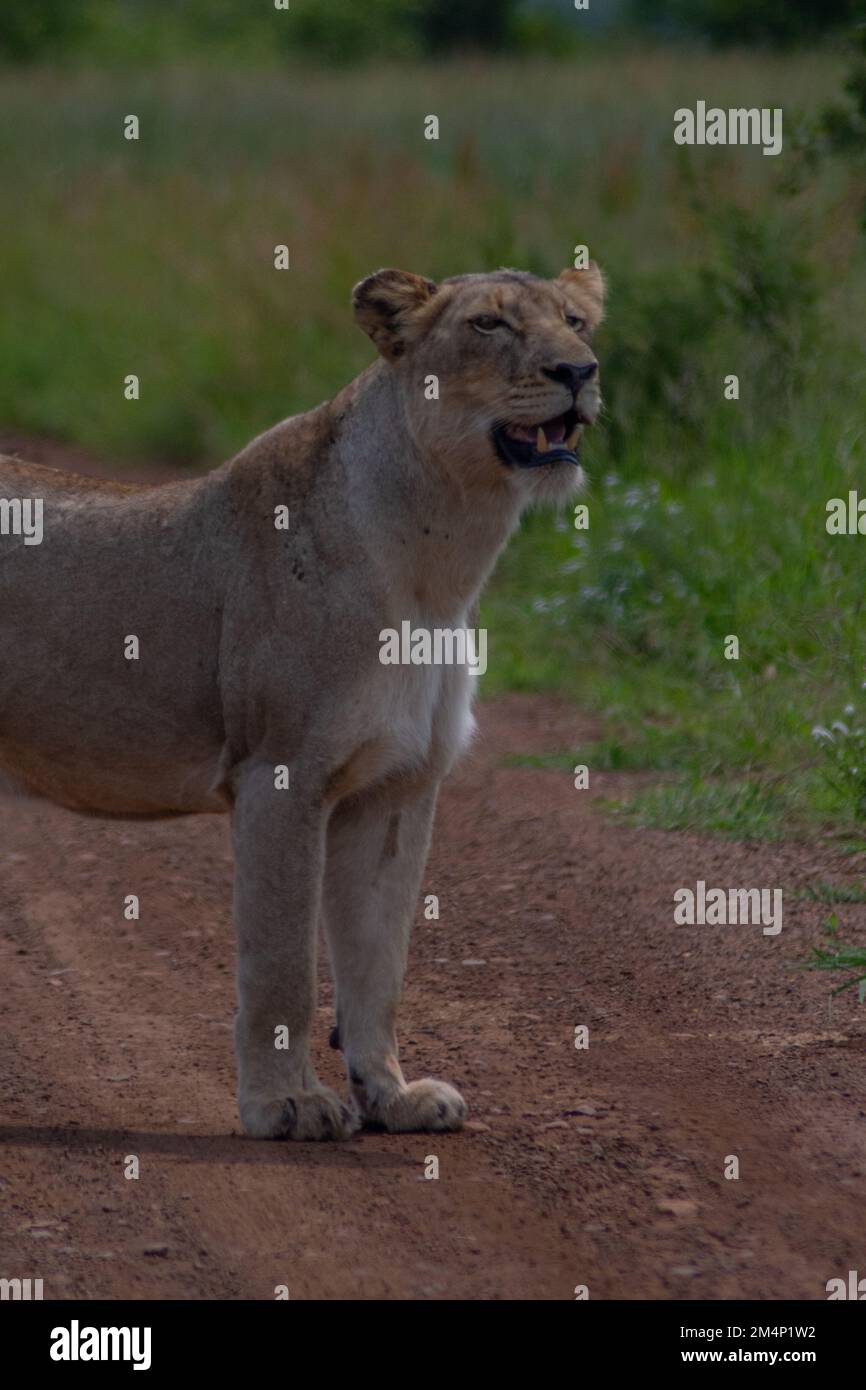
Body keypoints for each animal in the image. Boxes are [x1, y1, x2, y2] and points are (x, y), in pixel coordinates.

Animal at [0, 265, 604, 1140]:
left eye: (577, 320)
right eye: (489, 324)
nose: (580, 372)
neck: (441, 563)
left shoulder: (397, 790)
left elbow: (379, 963)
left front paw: (392, 1096)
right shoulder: (280, 774)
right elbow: (284, 964)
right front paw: (288, 1103)